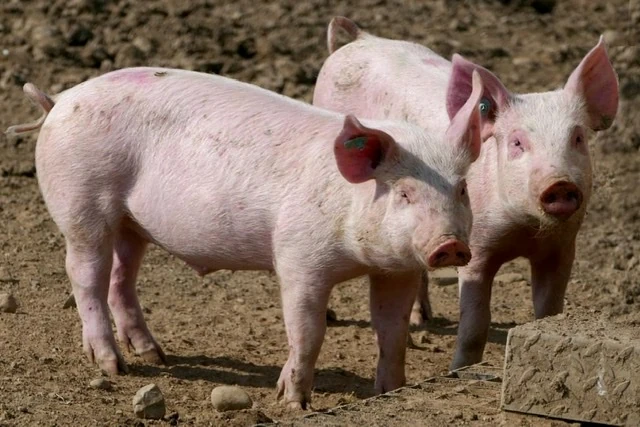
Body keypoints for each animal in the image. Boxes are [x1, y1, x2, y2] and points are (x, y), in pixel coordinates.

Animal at [7, 66, 485, 408]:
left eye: (461, 189)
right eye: (404, 193)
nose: (449, 245)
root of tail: (60, 101)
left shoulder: (395, 269)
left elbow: (391, 330)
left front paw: (389, 392)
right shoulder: (298, 257)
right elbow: (307, 330)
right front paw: (293, 402)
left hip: (131, 223)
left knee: (121, 277)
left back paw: (154, 354)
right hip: (82, 204)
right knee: (85, 275)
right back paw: (114, 367)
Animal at [313, 17, 619, 370]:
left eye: (578, 137)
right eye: (517, 142)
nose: (560, 183)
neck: (525, 229)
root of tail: (361, 39)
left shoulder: (562, 248)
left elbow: (548, 312)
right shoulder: (477, 248)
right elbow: (474, 322)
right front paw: (459, 369)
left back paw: (422, 319)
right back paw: (336, 318)